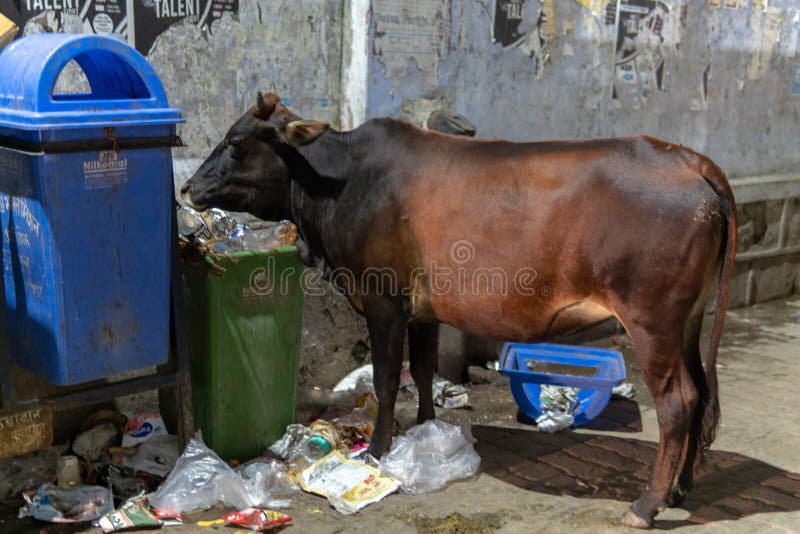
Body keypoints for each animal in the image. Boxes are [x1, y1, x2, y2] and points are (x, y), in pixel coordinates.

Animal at [181, 93, 737, 528]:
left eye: (236, 142)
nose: (188, 187)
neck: (338, 181)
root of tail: (690, 160)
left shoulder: (383, 300)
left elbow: (387, 379)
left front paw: (379, 450)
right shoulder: (424, 310)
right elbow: (425, 372)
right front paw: (427, 432)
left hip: (652, 322)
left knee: (677, 404)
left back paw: (647, 505)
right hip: (688, 322)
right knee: (702, 393)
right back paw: (681, 488)